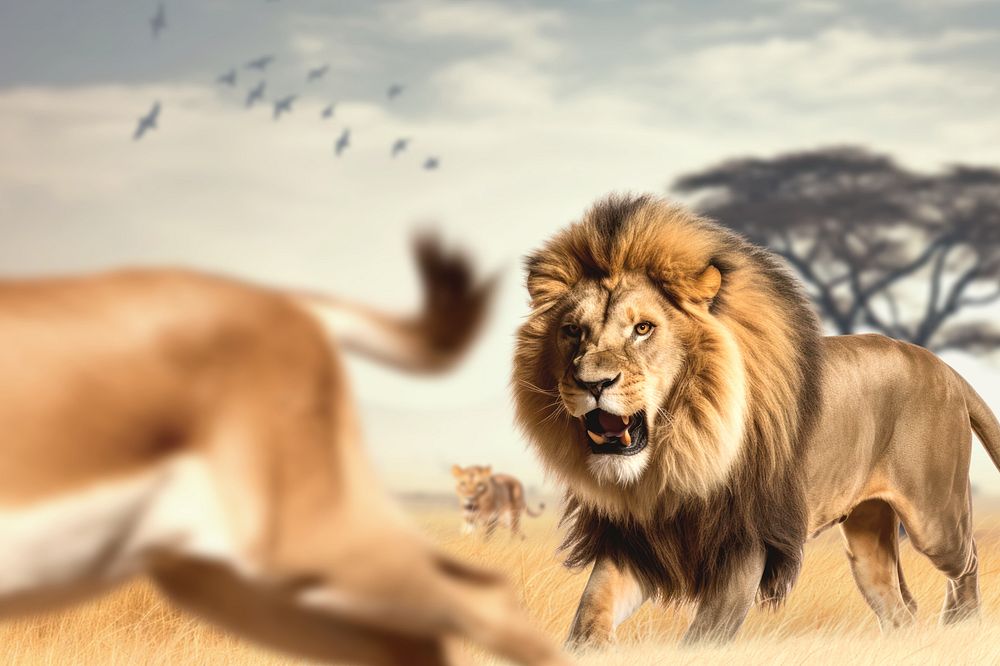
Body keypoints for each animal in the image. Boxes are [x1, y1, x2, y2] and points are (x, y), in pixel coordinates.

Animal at [0, 236, 568, 666]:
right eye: (463, 482)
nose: (471, 492)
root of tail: (294, 304)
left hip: (300, 546)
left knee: (485, 596)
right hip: (226, 580)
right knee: (414, 639)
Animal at [512, 194, 1000, 648]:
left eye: (643, 329)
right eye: (573, 331)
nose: (592, 382)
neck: (677, 453)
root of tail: (944, 367)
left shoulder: (747, 543)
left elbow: (704, 636)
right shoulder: (638, 542)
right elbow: (591, 611)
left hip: (935, 519)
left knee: (968, 558)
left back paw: (963, 626)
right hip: (867, 535)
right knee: (899, 609)